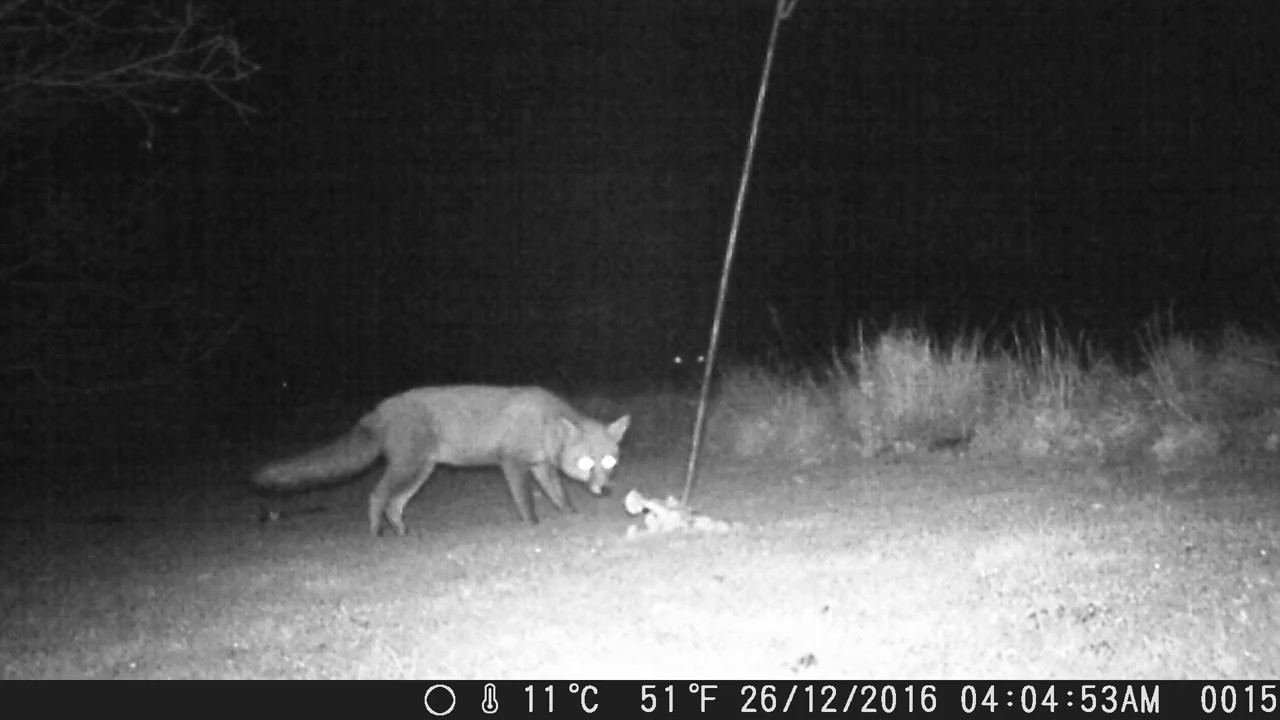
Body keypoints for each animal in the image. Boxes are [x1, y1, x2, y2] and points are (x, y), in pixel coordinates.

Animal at [253, 385, 630, 537]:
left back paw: (403, 533)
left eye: (609, 463)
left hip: (421, 472)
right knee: (377, 496)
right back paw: (377, 535)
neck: (544, 423)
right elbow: (526, 502)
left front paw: (571, 516)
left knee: (395, 505)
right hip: (409, 468)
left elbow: (558, 495)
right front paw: (532, 526)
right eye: (586, 464)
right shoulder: (512, 463)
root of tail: (378, 410)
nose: (604, 490)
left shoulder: (540, 466)